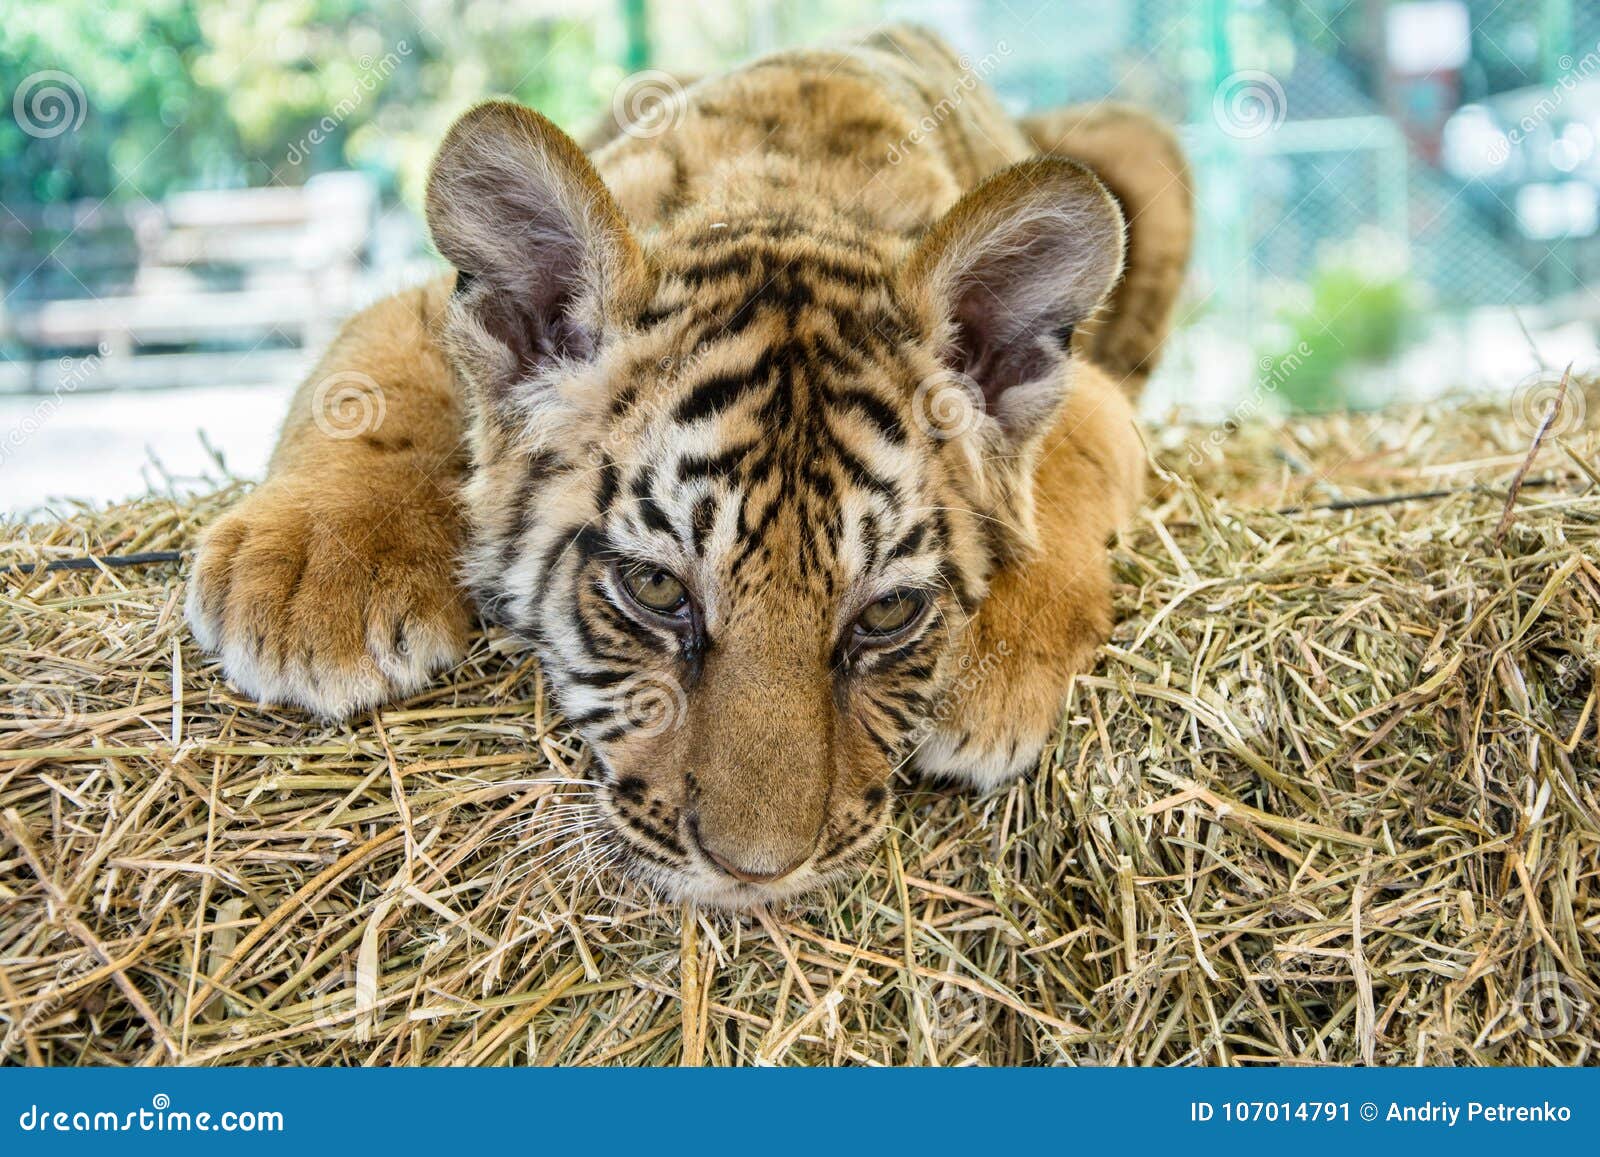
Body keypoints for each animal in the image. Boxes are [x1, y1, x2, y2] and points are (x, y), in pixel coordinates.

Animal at [185, 25, 1192, 907]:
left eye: (889, 613)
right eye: (656, 590)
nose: (755, 870)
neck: (787, 190)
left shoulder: (1096, 396)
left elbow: (1064, 473)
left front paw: (990, 678)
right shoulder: (425, 307)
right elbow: (367, 386)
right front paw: (313, 583)